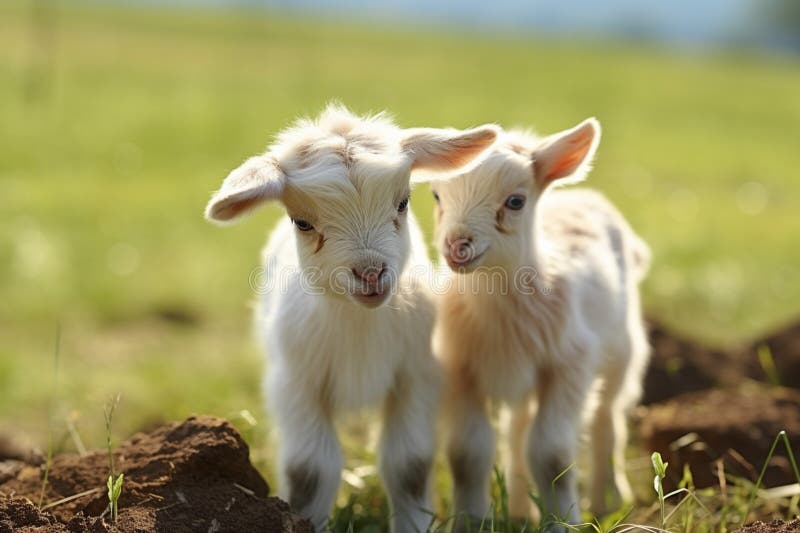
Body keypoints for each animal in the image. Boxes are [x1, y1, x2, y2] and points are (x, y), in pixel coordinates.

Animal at [205, 104, 498, 532]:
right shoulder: (296, 383)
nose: (371, 273)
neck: (359, 325)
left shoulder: (416, 374)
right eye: (302, 222)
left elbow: (409, 465)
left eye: (402, 203)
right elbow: (308, 470)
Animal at [429, 119, 650, 530]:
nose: (457, 245)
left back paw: (608, 500)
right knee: (517, 432)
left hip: (622, 352)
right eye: (436, 195)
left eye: (515, 201)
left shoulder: (568, 364)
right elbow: (468, 453)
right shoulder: (460, 368)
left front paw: (562, 522)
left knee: (606, 419)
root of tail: (586, 196)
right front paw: (469, 520)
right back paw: (520, 508)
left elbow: (552, 455)